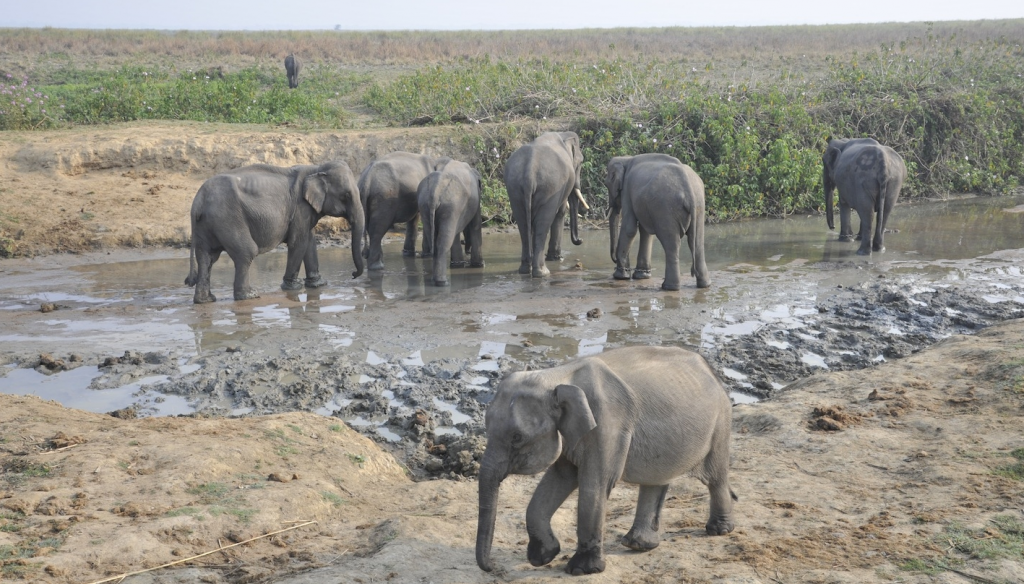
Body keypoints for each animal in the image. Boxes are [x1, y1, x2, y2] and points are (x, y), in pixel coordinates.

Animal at [184, 160, 364, 304]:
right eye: (346, 196)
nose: (353, 274)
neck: (317, 168)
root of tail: (197, 200)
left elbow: (309, 241)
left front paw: (318, 284)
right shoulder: (300, 207)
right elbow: (298, 242)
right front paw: (293, 287)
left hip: (207, 223)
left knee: (207, 257)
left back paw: (205, 300)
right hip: (228, 217)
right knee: (246, 252)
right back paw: (250, 295)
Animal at [476, 346, 736, 576]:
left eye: (517, 438)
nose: (492, 568)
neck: (558, 377)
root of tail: (709, 369)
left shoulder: (608, 422)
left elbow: (595, 484)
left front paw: (581, 570)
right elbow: (560, 478)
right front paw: (543, 557)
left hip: (720, 423)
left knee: (715, 477)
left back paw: (719, 530)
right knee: (656, 479)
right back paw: (638, 545)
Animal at [504, 131, 586, 278]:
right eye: (581, 161)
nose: (580, 240)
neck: (563, 135)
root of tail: (529, 173)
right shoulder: (561, 187)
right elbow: (560, 212)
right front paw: (557, 258)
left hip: (514, 189)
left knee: (523, 223)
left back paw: (526, 270)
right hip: (550, 187)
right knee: (544, 222)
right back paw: (542, 272)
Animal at [606, 153, 710, 290]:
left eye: (607, 184)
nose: (613, 259)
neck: (626, 159)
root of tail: (688, 189)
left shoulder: (627, 190)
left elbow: (629, 229)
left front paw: (620, 276)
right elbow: (645, 232)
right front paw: (641, 276)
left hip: (666, 207)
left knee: (671, 243)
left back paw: (669, 287)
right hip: (699, 205)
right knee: (697, 243)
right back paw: (704, 285)